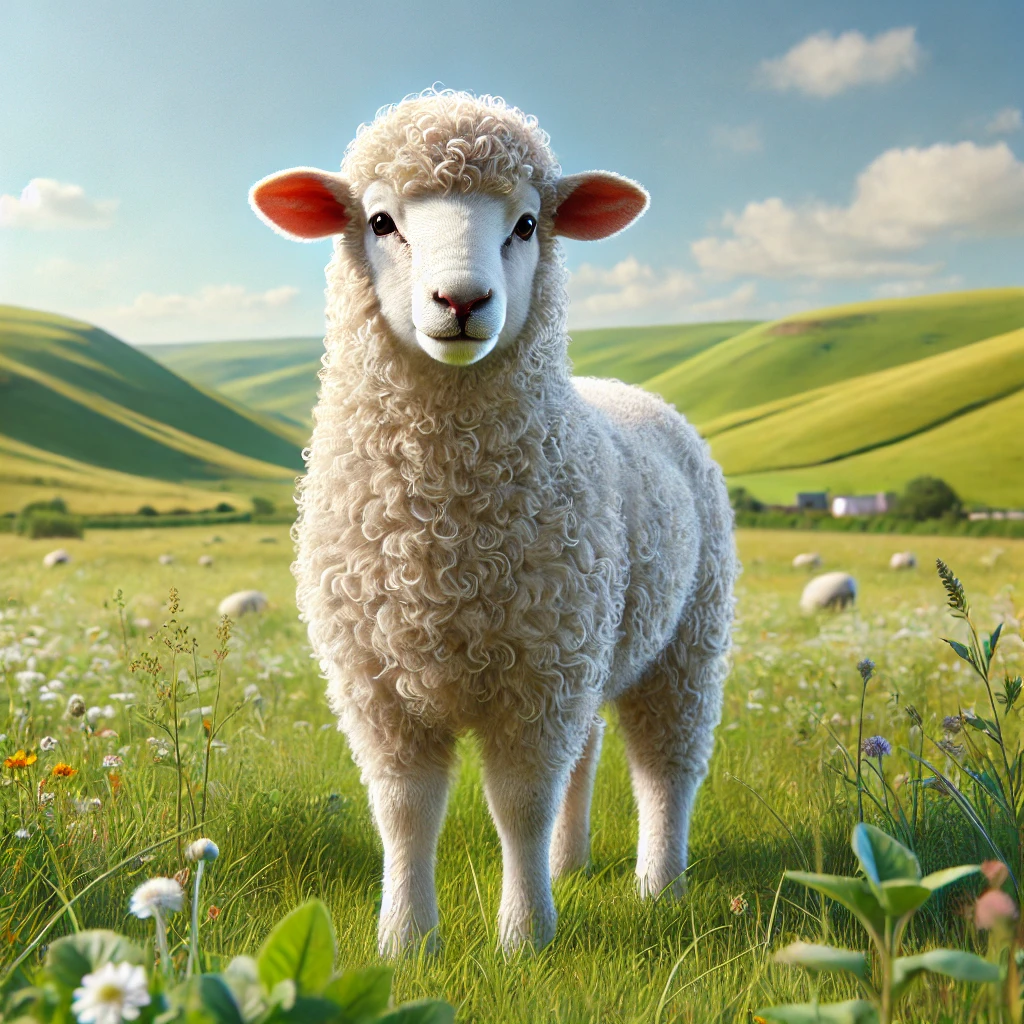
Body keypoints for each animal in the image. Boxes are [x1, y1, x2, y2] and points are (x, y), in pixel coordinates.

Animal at [250, 89, 738, 956]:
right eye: (380, 221)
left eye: (528, 224)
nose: (463, 302)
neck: (445, 537)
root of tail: (630, 391)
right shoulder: (378, 687)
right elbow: (405, 812)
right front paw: (406, 939)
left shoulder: (536, 678)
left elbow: (519, 805)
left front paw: (524, 937)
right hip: (592, 646)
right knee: (589, 756)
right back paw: (572, 865)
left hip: (684, 641)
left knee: (665, 768)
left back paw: (658, 885)